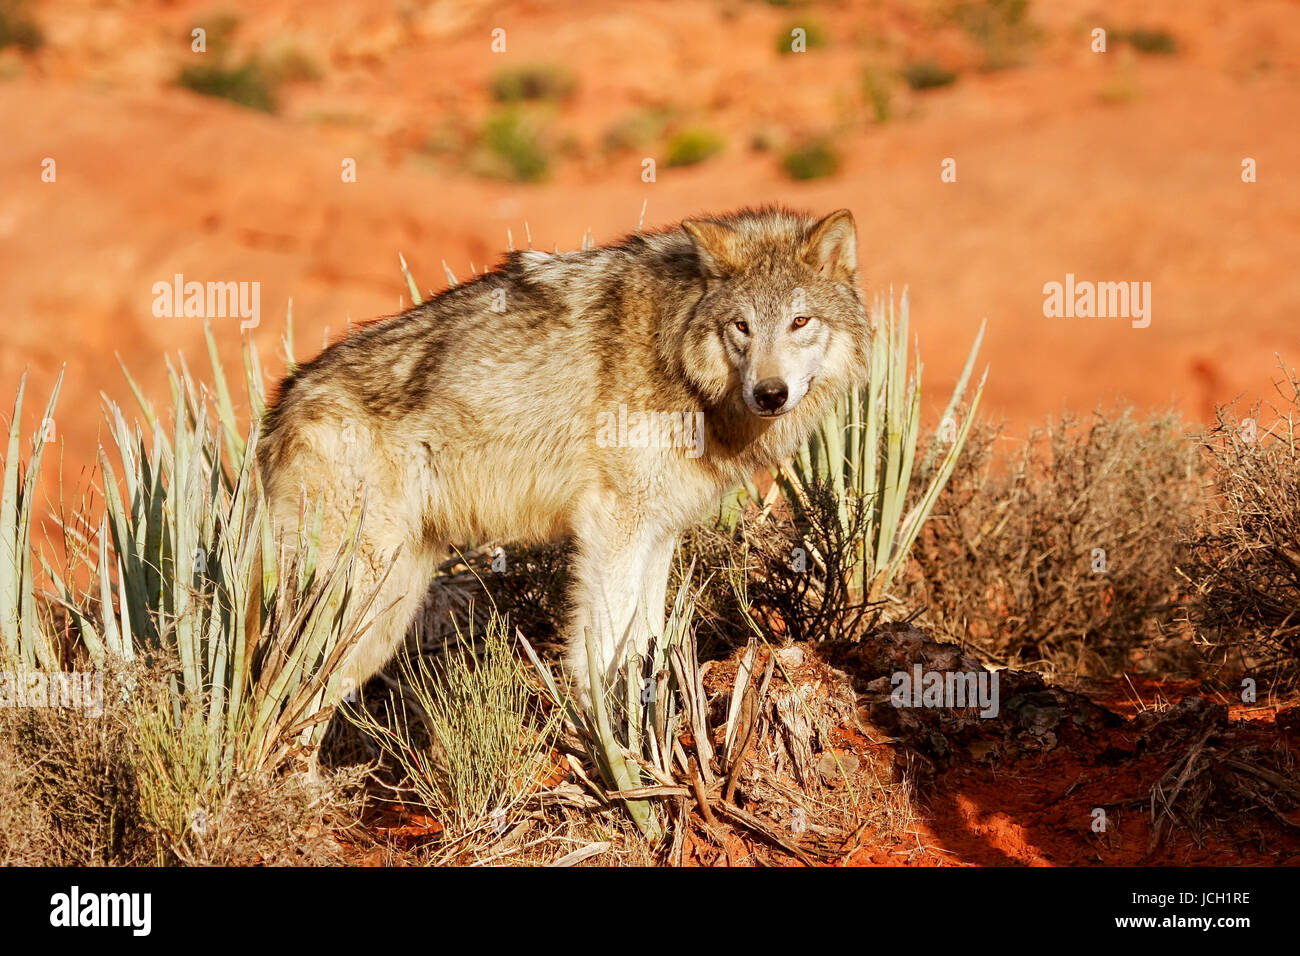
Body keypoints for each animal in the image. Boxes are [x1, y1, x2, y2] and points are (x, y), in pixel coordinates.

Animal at [258, 206, 871, 701]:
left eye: (799, 321)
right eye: (741, 327)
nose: (770, 394)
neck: (675, 353)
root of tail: (279, 409)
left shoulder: (658, 530)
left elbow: (647, 636)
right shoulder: (611, 522)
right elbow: (604, 642)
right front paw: (610, 728)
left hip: (389, 607)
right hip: (357, 593)